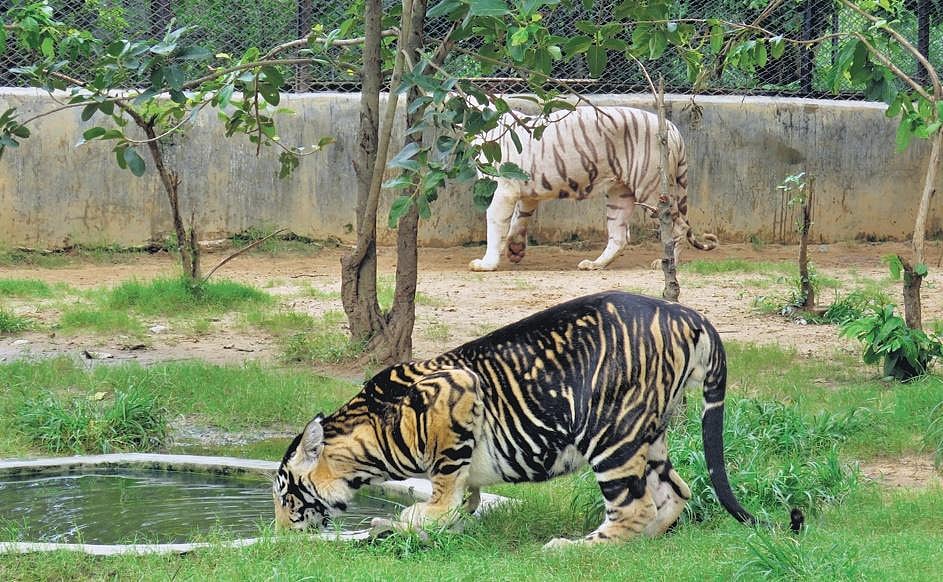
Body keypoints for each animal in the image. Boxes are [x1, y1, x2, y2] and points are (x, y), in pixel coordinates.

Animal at [273, 291, 797, 549]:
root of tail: (688, 314)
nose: (278, 533)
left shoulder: (456, 393)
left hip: (611, 432)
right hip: (650, 435)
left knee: (634, 507)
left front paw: (413, 519)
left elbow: (441, 490)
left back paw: (574, 547)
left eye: (284, 494)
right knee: (673, 494)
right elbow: (462, 498)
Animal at [468, 106, 718, 272]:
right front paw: (515, 250)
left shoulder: (504, 189)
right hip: (619, 194)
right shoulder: (525, 192)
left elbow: (495, 223)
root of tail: (673, 128)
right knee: (619, 236)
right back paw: (595, 264)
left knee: (677, 227)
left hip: (652, 189)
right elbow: (518, 219)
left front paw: (486, 263)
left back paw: (666, 262)